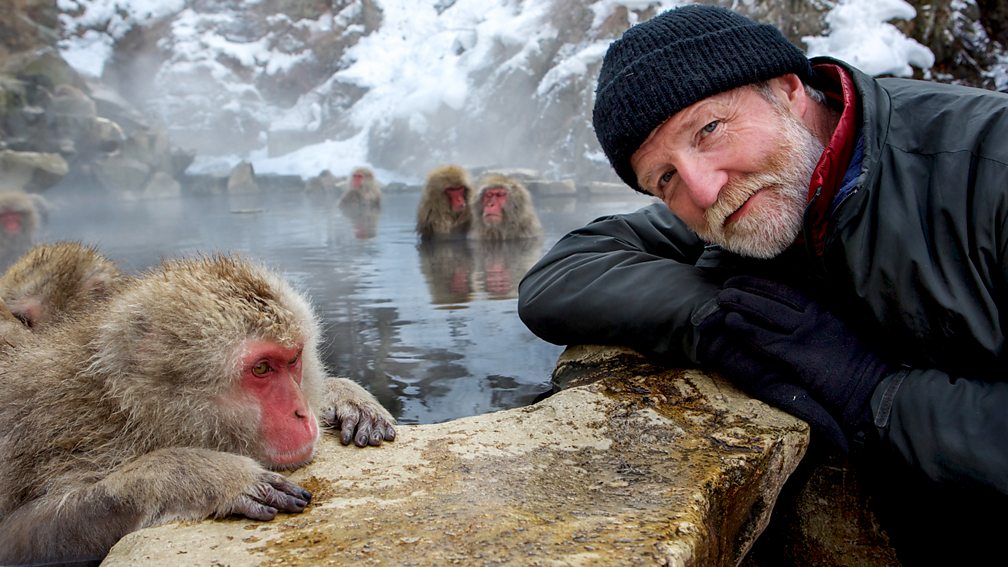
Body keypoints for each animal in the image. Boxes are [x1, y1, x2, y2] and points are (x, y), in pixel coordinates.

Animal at [0, 254, 397, 565]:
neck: (127, 409)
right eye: (261, 369)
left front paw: (343, 395)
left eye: (293, 359)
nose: (301, 413)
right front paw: (201, 474)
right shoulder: (55, 435)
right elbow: (22, 534)